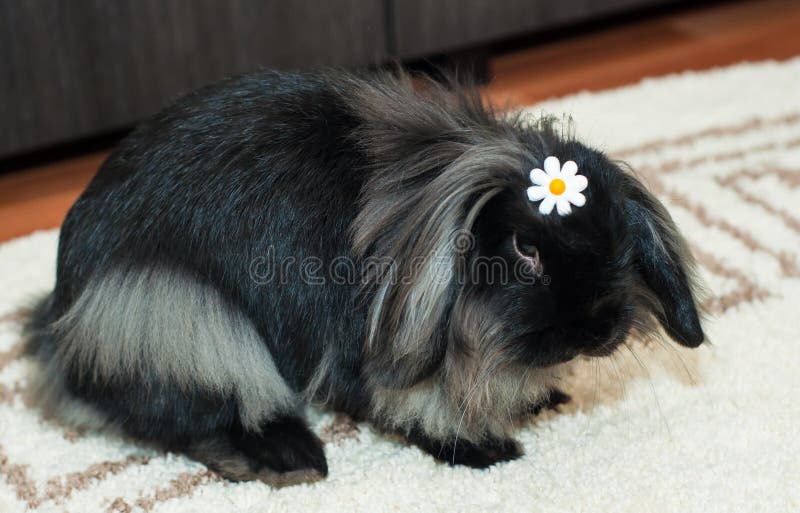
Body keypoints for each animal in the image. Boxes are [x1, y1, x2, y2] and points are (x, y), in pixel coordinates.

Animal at [24, 69, 705, 487]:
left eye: (617, 238)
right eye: (524, 248)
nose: (601, 329)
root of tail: (60, 321)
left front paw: (542, 399)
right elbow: (412, 402)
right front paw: (486, 451)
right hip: (179, 316)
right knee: (196, 415)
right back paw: (290, 460)